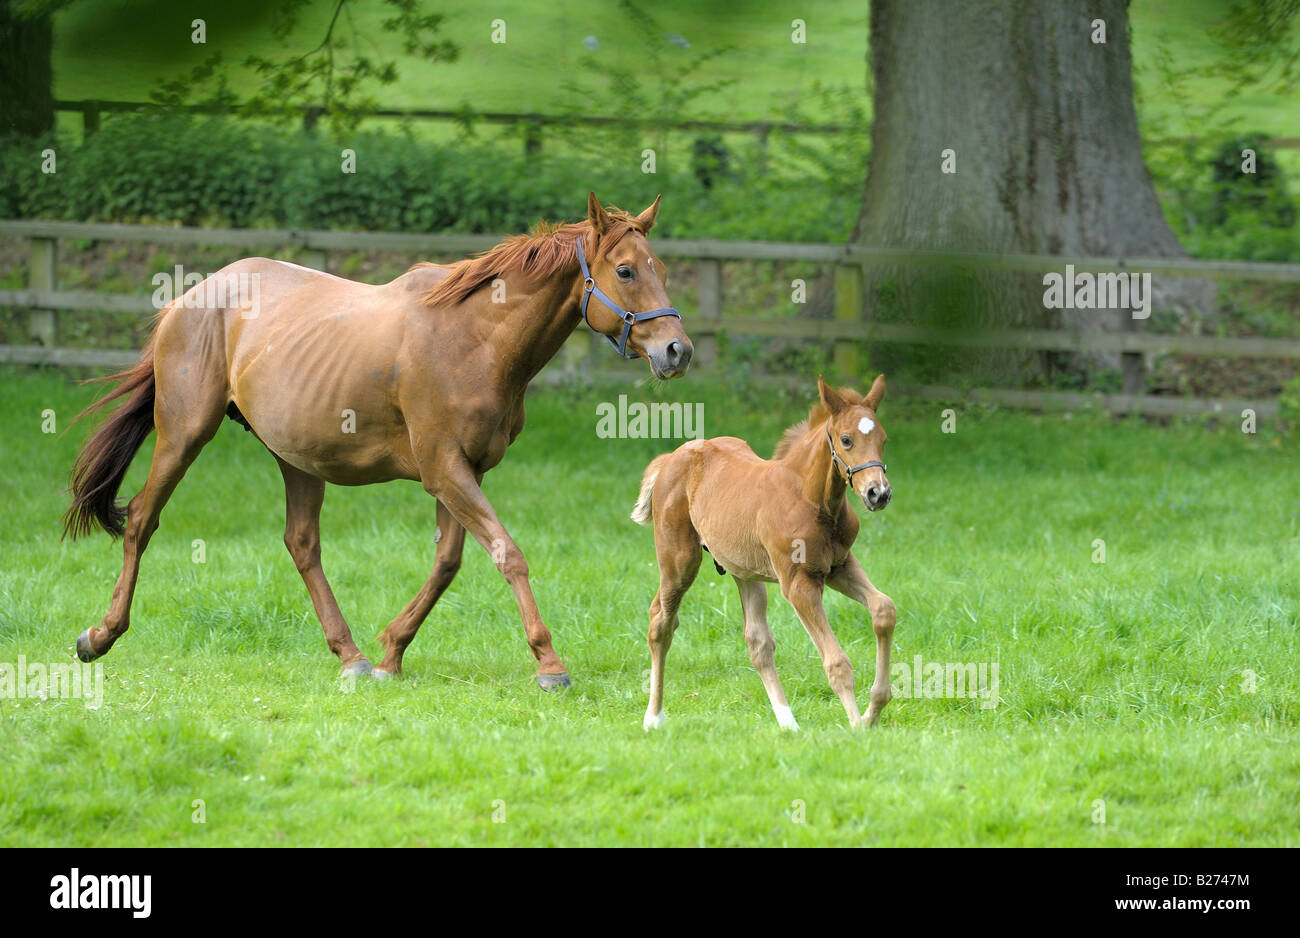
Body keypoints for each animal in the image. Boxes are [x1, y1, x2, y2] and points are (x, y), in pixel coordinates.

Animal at [62, 192, 693, 690]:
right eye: (626, 271)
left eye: (661, 267)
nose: (677, 351)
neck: (475, 338)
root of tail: (190, 297)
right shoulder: (445, 471)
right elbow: (507, 553)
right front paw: (549, 663)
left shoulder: (465, 473)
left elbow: (447, 563)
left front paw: (392, 652)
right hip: (184, 435)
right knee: (142, 519)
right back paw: (100, 635)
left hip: (297, 459)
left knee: (302, 545)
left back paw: (352, 657)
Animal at [631, 375, 896, 729]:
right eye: (846, 439)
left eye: (883, 439)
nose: (878, 493)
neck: (812, 500)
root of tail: (672, 457)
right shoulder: (798, 583)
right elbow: (836, 662)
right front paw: (856, 727)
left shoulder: (839, 566)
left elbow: (883, 608)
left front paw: (872, 711)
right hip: (679, 561)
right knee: (661, 622)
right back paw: (654, 717)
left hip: (744, 569)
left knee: (758, 640)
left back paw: (788, 724)